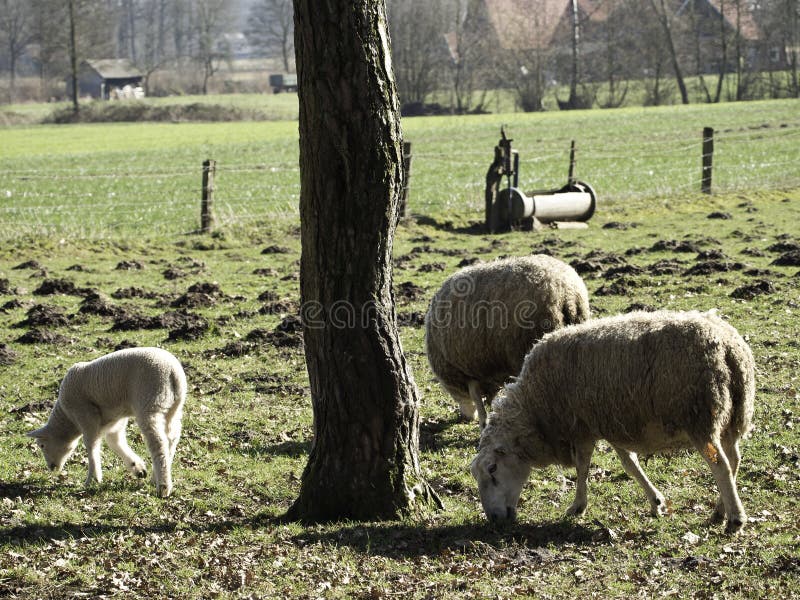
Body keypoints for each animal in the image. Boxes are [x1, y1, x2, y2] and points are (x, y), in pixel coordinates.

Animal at [27, 347, 187, 497]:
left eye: (42, 445)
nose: (51, 468)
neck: (68, 418)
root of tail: (173, 372)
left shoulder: (85, 414)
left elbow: (91, 444)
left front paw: (93, 478)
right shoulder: (114, 419)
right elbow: (114, 441)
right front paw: (137, 468)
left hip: (149, 402)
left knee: (158, 443)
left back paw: (163, 487)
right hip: (173, 407)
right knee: (171, 439)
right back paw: (156, 477)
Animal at [470, 310, 755, 534]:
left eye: (493, 469)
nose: (493, 519)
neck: (535, 407)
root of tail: (729, 347)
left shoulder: (581, 428)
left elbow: (582, 468)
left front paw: (577, 506)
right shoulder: (611, 424)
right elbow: (630, 465)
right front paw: (656, 502)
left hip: (700, 417)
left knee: (721, 466)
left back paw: (735, 520)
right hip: (731, 417)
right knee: (734, 459)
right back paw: (720, 512)